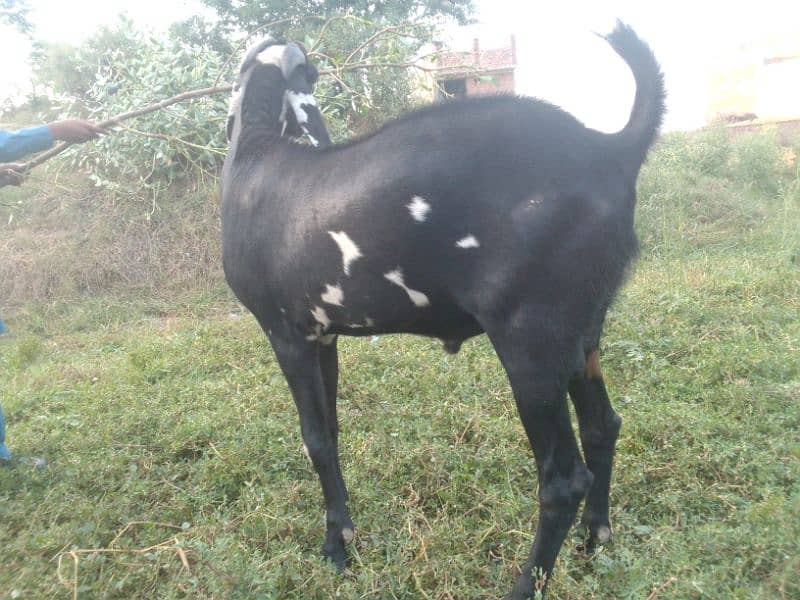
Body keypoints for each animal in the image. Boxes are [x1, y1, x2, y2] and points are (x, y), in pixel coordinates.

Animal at [221, 23, 665, 599]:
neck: (257, 153)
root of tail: (610, 149)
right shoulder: (324, 335)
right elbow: (332, 430)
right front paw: (345, 529)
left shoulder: (285, 332)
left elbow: (315, 438)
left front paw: (336, 547)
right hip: (581, 330)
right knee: (603, 426)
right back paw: (596, 539)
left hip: (532, 337)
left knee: (563, 478)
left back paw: (525, 584)